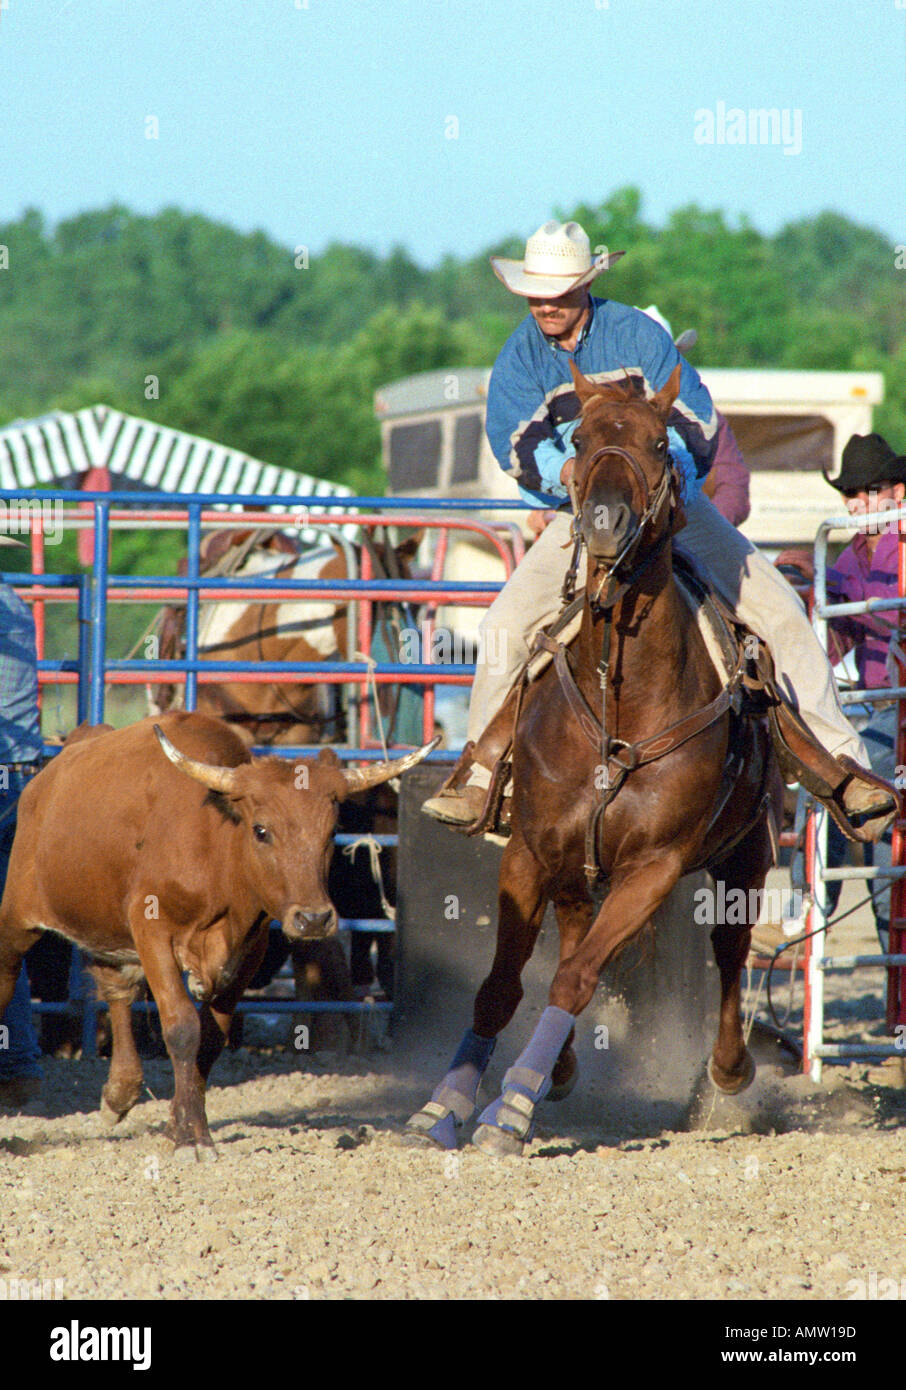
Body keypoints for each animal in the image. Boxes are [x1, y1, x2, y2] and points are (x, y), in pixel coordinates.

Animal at [406, 362, 784, 1155]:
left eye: (658, 442)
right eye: (577, 439)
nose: (605, 525)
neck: (624, 702)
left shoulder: (654, 869)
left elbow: (576, 978)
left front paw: (509, 1109)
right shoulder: (530, 848)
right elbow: (502, 985)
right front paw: (446, 1103)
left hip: (745, 853)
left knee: (731, 949)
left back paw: (727, 1070)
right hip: (576, 865)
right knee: (579, 929)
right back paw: (562, 1067)